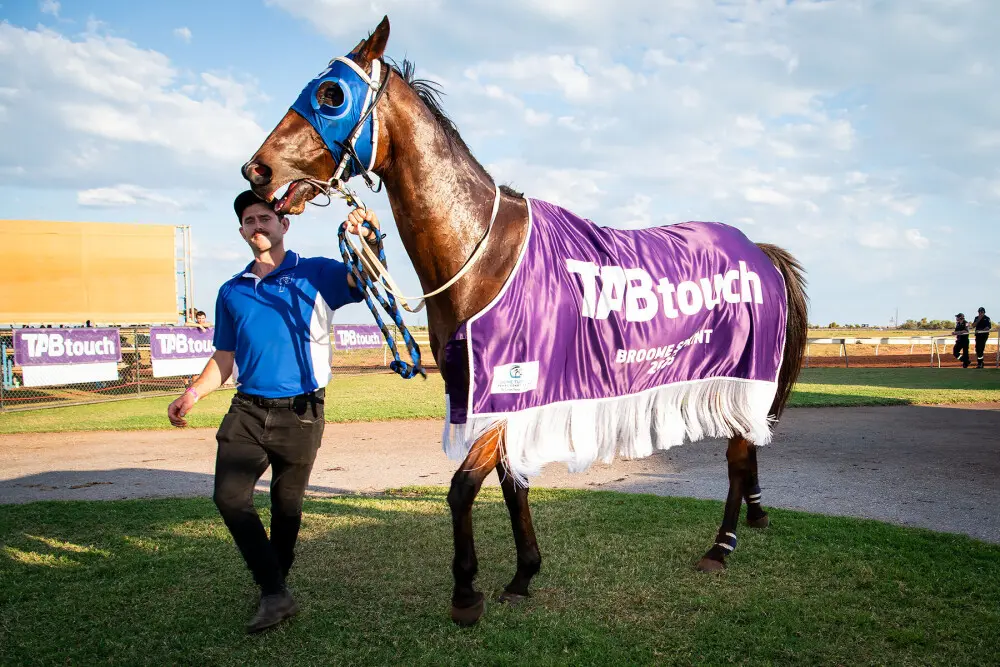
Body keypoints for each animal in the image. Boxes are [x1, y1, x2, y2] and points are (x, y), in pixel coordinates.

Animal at [241, 16, 809, 627]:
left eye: (330, 95)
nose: (256, 169)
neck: (485, 256)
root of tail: (758, 251)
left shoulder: (508, 385)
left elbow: (464, 485)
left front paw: (466, 591)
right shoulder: (489, 393)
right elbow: (512, 483)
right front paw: (522, 575)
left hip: (744, 373)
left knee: (738, 457)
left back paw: (720, 547)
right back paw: (752, 517)